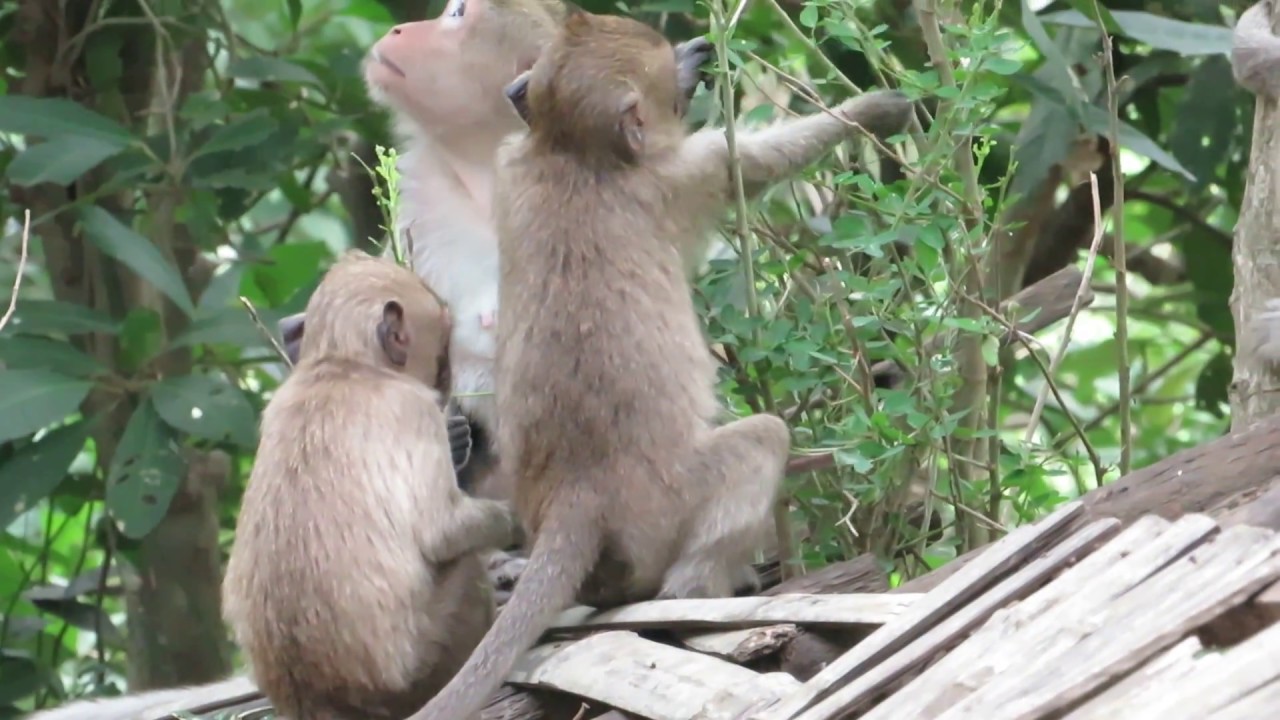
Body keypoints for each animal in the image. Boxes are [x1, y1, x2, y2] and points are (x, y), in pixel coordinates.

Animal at [222, 250, 520, 720]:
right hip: (421, 667)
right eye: (441, 345)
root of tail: (320, 703)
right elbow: (443, 531)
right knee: (464, 568)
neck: (342, 365)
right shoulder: (412, 408)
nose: (446, 376)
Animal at [404, 12, 914, 720]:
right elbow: (753, 162)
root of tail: (576, 501)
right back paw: (693, 592)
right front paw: (873, 110)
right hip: (670, 508)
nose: (689, 59)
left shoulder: (512, 164)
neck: (571, 156)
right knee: (763, 441)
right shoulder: (678, 174)